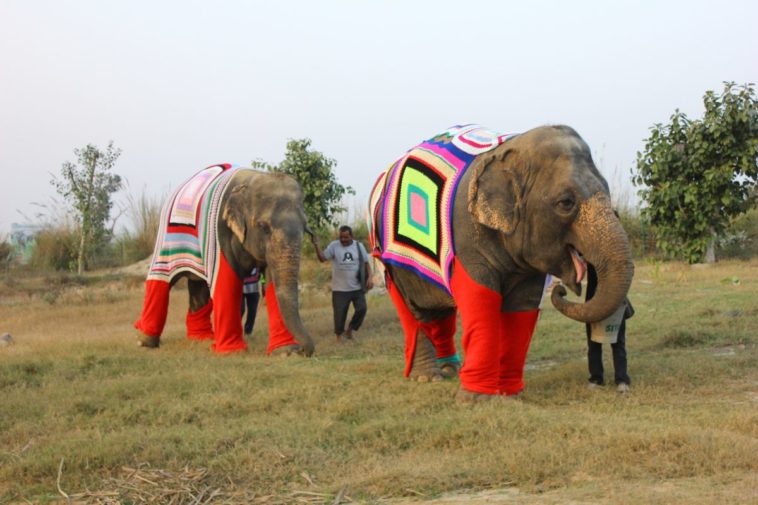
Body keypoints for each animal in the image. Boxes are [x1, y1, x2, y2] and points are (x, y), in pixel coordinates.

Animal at [134, 163, 315, 356]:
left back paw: (201, 338)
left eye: (305, 227)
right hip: (166, 239)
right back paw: (145, 342)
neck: (251, 180)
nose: (303, 350)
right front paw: (232, 351)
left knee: (197, 286)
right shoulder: (219, 231)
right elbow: (226, 280)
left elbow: (272, 280)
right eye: (263, 227)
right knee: (160, 280)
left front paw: (285, 352)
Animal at [367, 124, 634, 400]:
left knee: (439, 312)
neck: (512, 149)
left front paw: (508, 393)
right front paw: (474, 399)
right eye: (565, 203)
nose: (559, 289)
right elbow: (481, 300)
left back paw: (450, 369)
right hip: (387, 261)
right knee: (413, 312)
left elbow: (523, 305)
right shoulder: (467, 238)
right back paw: (427, 377)